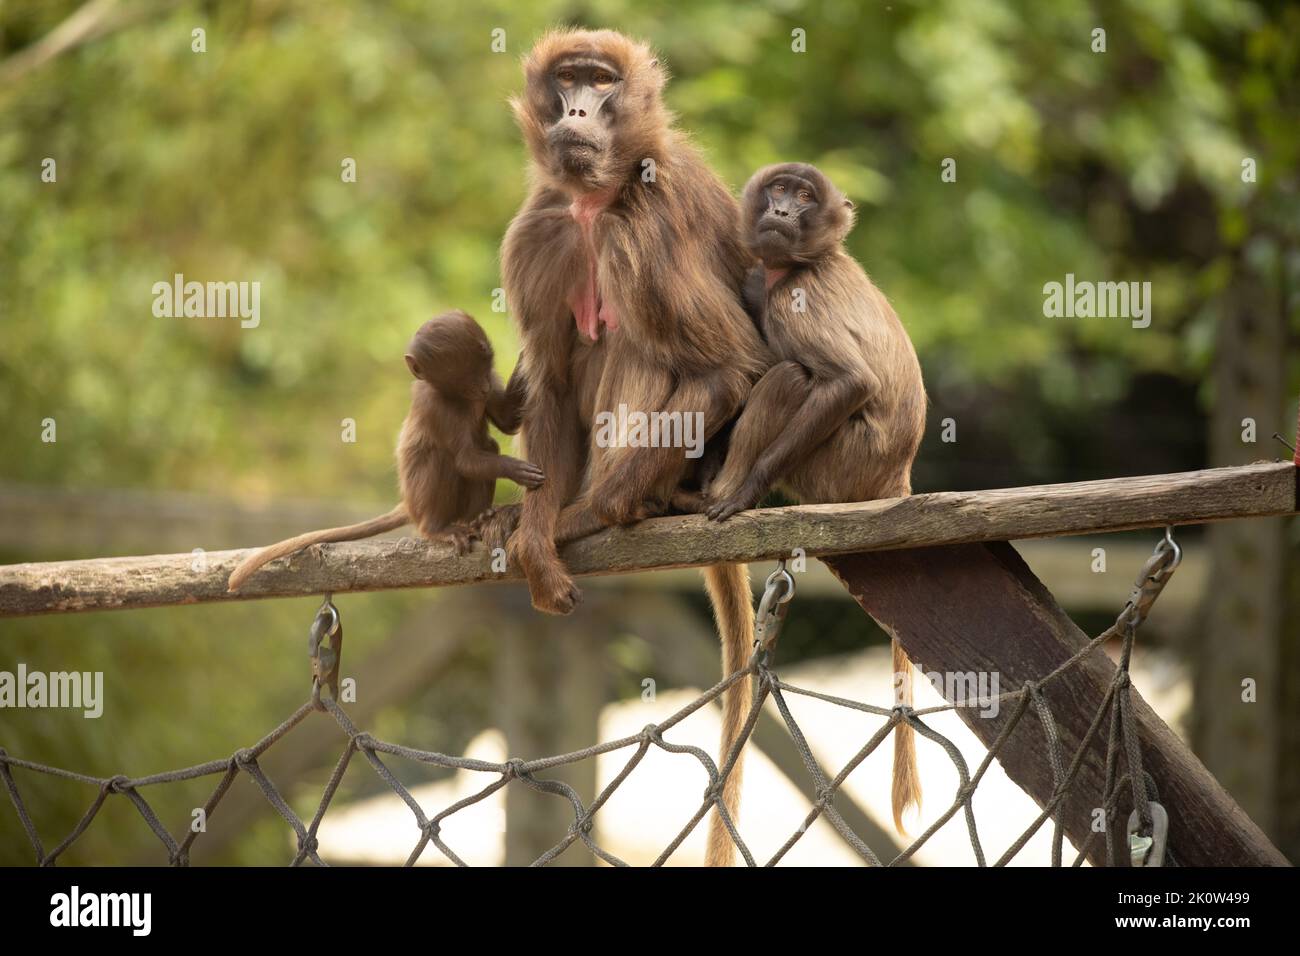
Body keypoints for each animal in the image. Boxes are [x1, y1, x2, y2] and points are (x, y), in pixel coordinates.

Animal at [227, 310, 542, 592]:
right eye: (464, 376)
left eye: (484, 365)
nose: (483, 386)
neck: (458, 397)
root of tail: (409, 505)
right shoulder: (436, 406)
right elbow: (465, 460)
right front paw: (515, 469)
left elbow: (507, 421)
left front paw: (526, 353)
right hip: (421, 500)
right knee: (445, 459)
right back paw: (437, 529)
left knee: (487, 445)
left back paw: (479, 517)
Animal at [498, 29, 771, 866]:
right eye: (568, 81)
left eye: (600, 82)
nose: (578, 111)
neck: (598, 203)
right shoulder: (542, 225)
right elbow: (552, 384)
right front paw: (537, 537)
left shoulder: (646, 220)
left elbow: (730, 366)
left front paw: (587, 517)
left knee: (641, 340)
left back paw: (631, 503)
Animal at [700, 163, 928, 835]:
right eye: (779, 190)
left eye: (805, 197)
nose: (782, 210)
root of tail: (895, 475)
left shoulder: (794, 295)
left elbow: (848, 380)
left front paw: (745, 491)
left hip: (840, 465)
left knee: (791, 375)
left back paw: (727, 489)